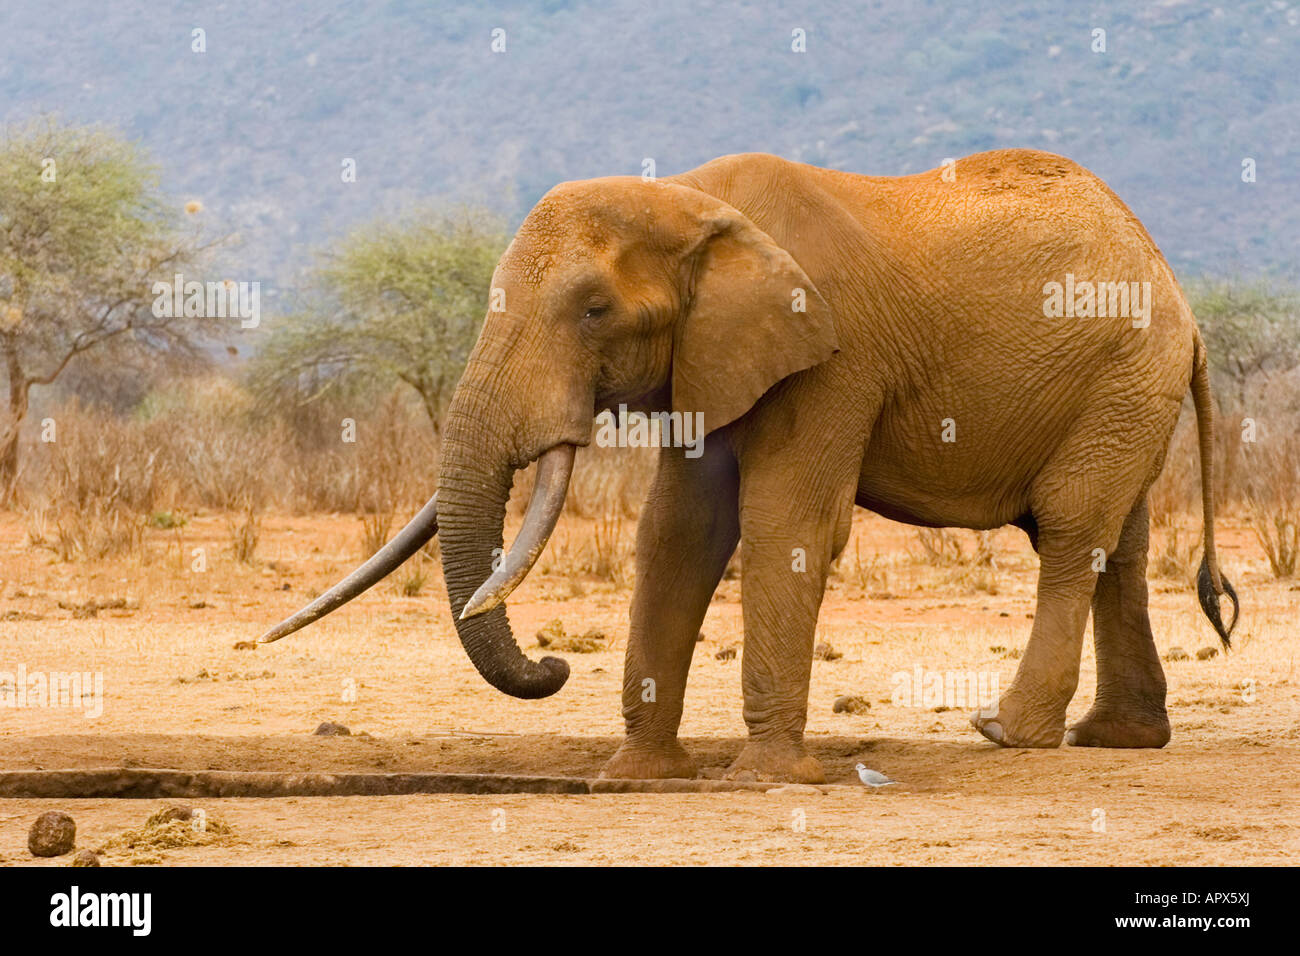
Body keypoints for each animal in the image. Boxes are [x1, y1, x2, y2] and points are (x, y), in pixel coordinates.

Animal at [260, 149, 1239, 784]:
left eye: (593, 311)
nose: (553, 666)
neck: (690, 202)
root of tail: (1181, 299)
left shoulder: (832, 353)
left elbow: (786, 523)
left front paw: (767, 778)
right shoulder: (711, 354)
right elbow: (679, 530)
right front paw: (635, 776)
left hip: (1124, 374)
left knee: (1071, 533)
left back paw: (1006, 732)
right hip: (1124, 388)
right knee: (1120, 543)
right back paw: (1116, 738)